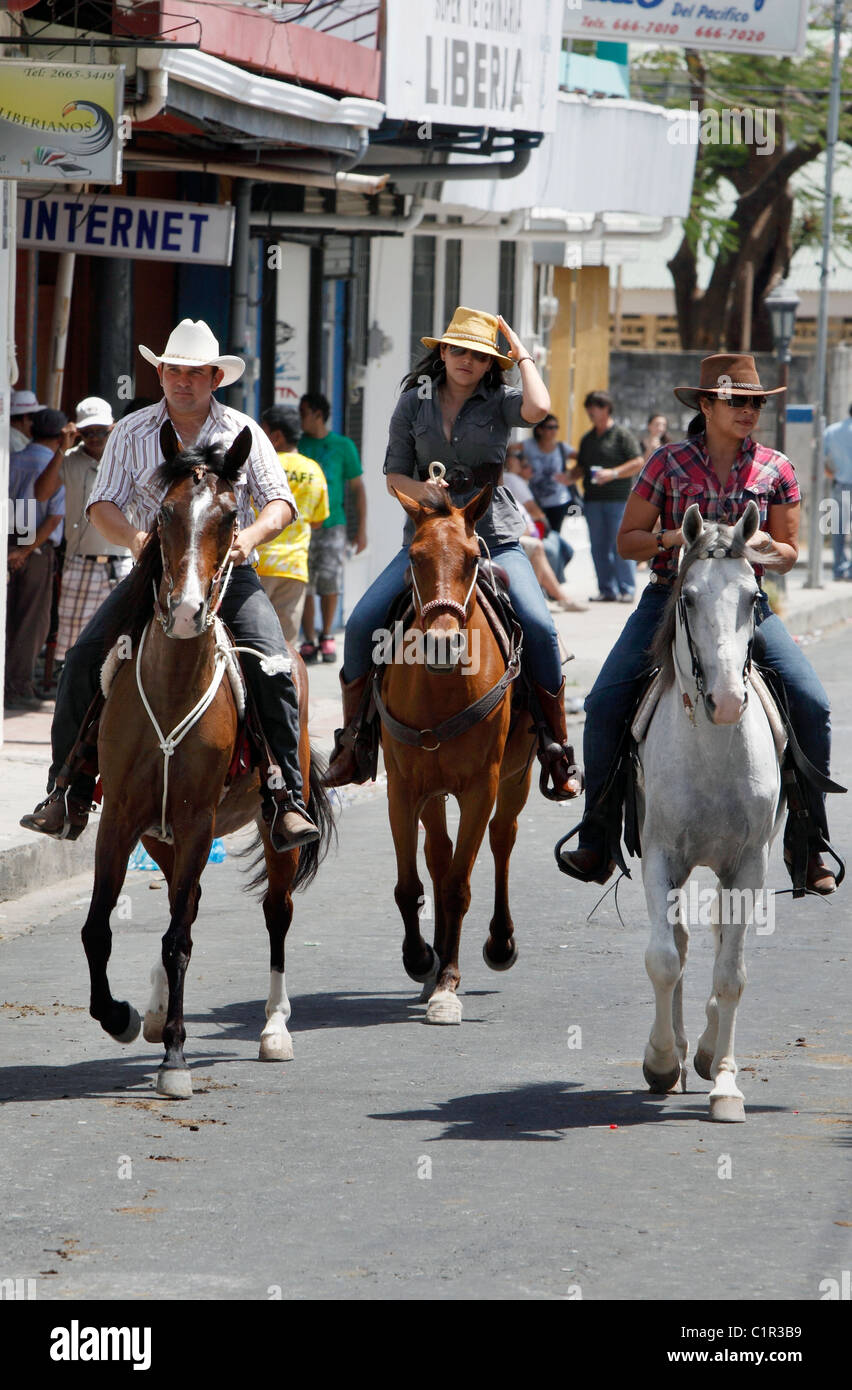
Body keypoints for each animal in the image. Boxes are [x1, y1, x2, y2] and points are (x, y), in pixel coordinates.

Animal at [80, 423, 333, 1098]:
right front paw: (121, 1017)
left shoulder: (196, 821)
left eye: (229, 517)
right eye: (163, 515)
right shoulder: (122, 819)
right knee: (183, 904)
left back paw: (274, 1028)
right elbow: (100, 927)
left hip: (270, 831)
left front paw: (174, 1059)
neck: (172, 687)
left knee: (275, 914)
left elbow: (179, 942)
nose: (190, 610)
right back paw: (157, 1011)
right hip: (162, 835)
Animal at [376, 483, 537, 1025]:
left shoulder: (480, 788)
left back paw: (499, 942)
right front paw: (421, 958)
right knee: (438, 855)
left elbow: (458, 886)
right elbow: (412, 883)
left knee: (502, 840)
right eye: (414, 557)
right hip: (433, 792)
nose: (442, 646)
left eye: (470, 559)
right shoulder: (404, 789)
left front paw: (447, 980)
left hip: (516, 778)